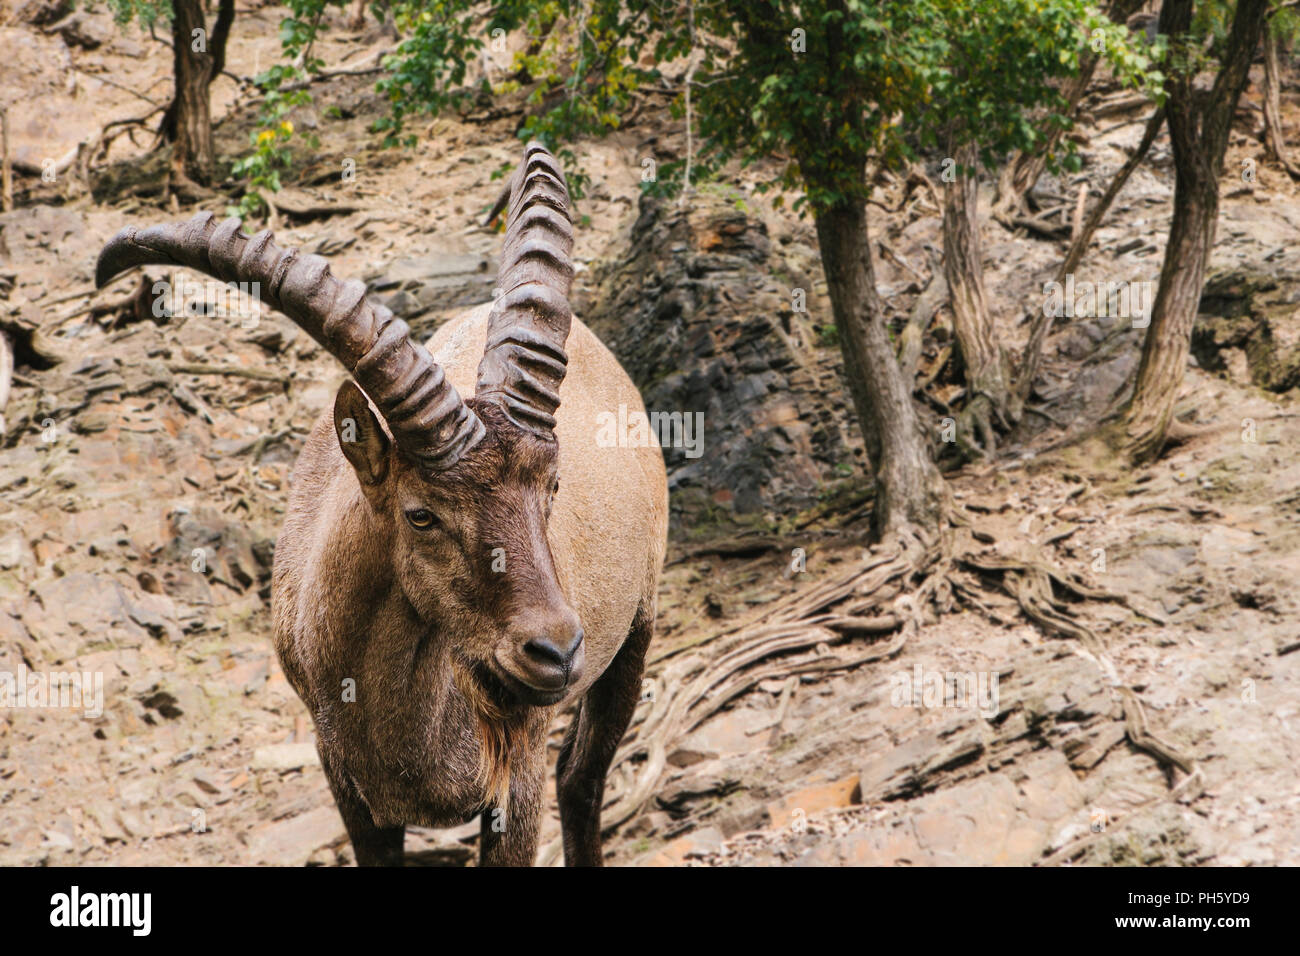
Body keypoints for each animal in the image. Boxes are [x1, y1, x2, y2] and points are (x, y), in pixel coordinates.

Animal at [95, 143, 669, 866]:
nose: (556, 651)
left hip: (637, 627)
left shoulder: (517, 774)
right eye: (420, 513)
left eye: (552, 488)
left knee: (583, 778)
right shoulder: (347, 782)